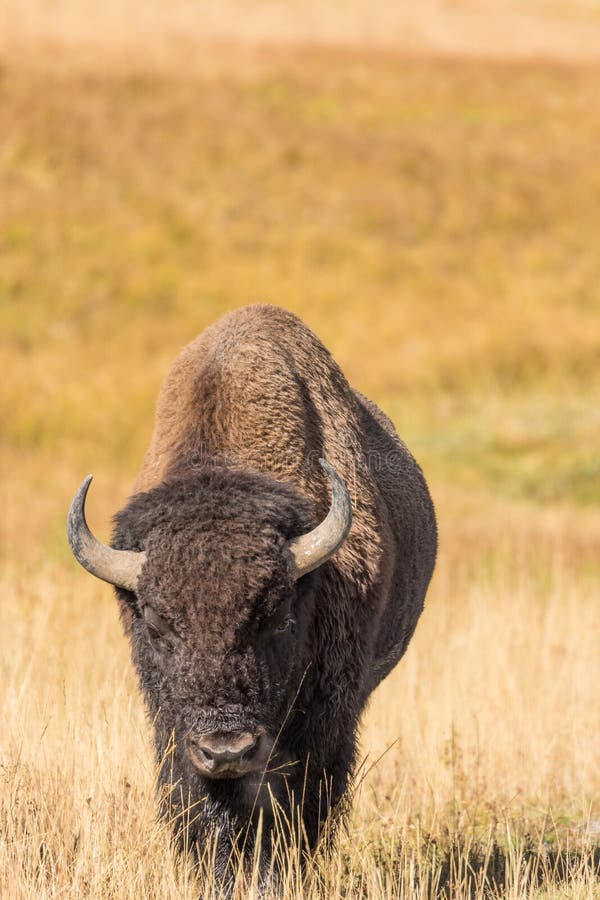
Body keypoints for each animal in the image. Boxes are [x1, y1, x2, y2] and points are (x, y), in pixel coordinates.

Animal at [67, 304, 437, 889]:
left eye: (277, 615)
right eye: (156, 624)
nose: (226, 748)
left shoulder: (323, 720)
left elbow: (294, 805)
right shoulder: (174, 728)